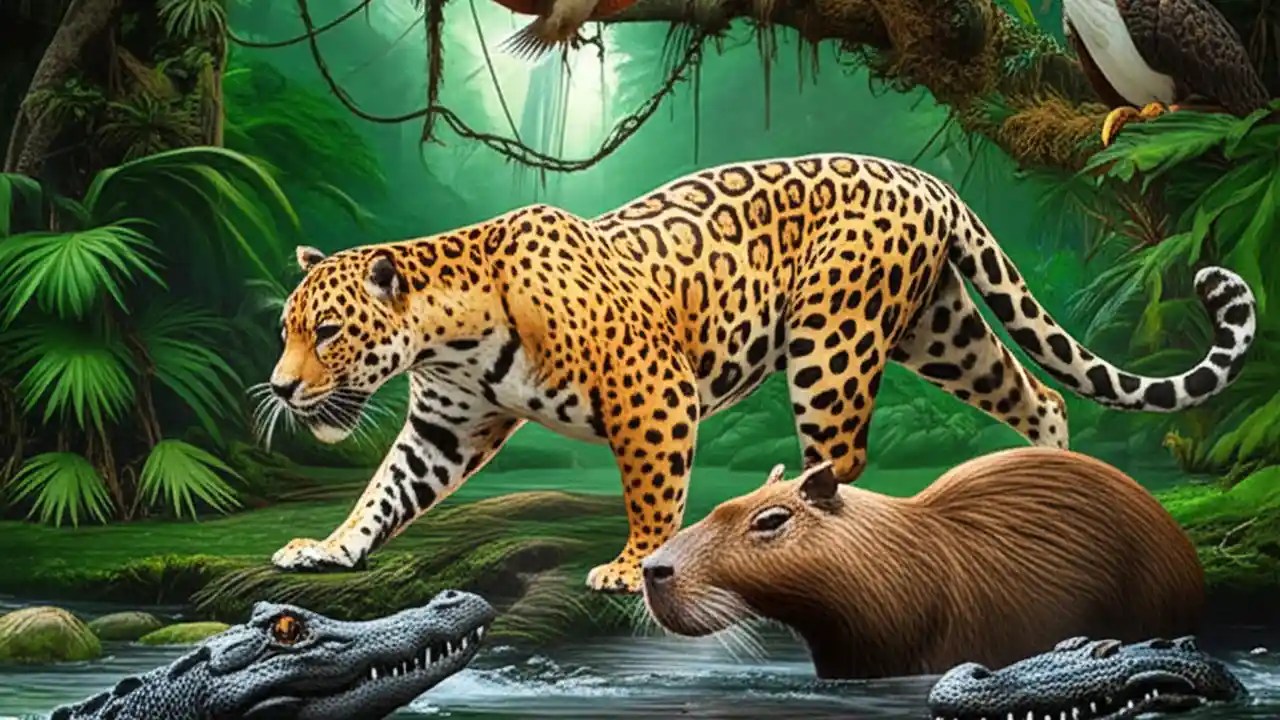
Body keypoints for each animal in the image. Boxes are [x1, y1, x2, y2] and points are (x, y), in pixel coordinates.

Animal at [263, 152, 1256, 594]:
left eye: (327, 331)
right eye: (284, 331)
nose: (278, 388)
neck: (449, 333)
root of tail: (928, 179)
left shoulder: (652, 396)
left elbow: (653, 494)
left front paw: (630, 565)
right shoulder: (444, 423)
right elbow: (384, 493)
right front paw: (328, 548)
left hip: (831, 338)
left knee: (839, 461)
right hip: (941, 329)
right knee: (1040, 394)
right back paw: (1055, 480)